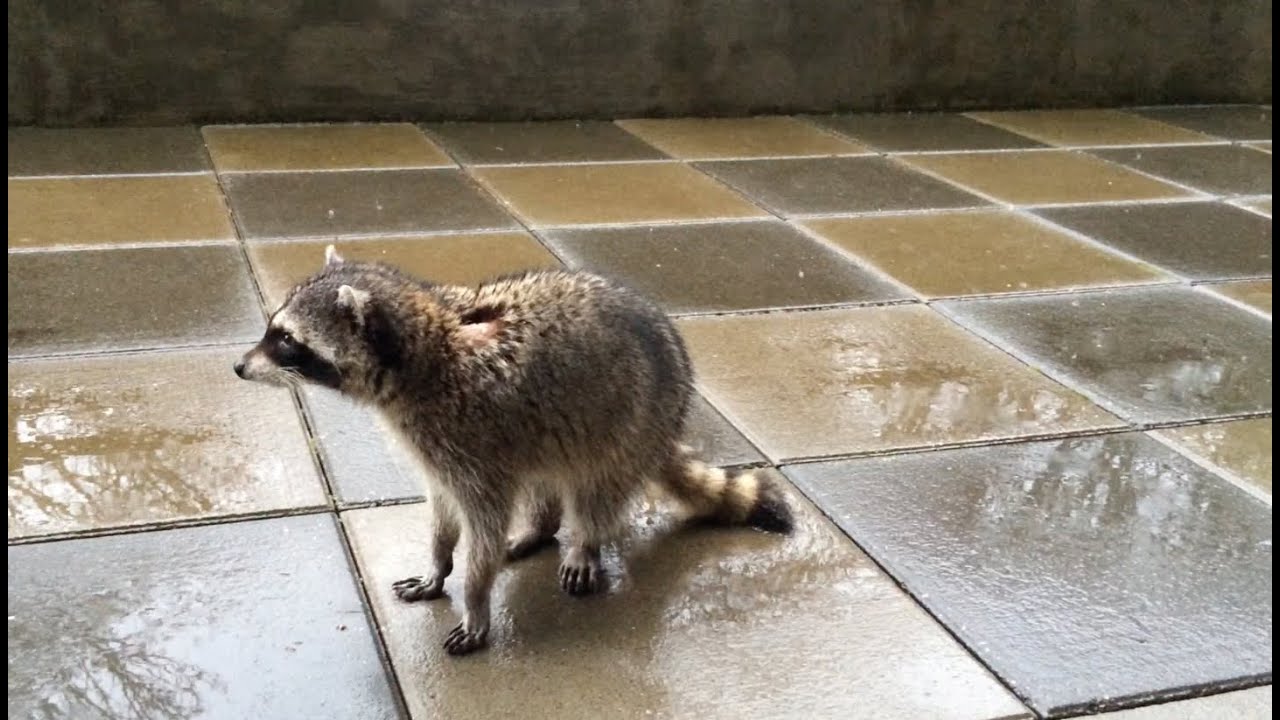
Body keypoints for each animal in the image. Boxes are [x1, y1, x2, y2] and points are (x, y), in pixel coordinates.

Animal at [234, 246, 793, 656]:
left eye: (286, 339)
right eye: (273, 329)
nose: (238, 367)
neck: (424, 349)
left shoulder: (471, 440)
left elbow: (484, 523)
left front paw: (475, 596)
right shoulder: (438, 448)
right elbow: (443, 510)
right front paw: (439, 560)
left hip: (628, 425)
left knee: (596, 490)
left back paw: (584, 540)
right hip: (548, 429)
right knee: (545, 475)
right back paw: (540, 527)